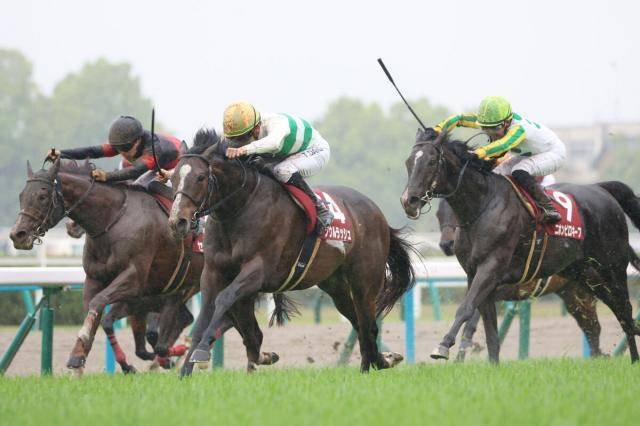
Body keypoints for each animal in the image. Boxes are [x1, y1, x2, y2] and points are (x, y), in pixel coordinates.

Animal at [9, 159, 280, 374]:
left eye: (42, 196)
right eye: (21, 195)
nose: (17, 235)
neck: (112, 220)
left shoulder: (134, 279)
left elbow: (100, 304)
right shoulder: (100, 281)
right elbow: (97, 314)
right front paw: (82, 358)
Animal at [168, 129, 415, 375]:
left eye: (200, 177)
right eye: (173, 178)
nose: (177, 221)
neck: (240, 207)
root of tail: (376, 212)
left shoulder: (258, 271)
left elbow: (224, 299)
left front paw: (201, 352)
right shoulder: (213, 272)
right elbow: (210, 316)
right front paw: (186, 370)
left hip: (365, 280)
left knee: (367, 323)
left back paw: (373, 363)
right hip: (335, 285)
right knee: (358, 322)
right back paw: (378, 361)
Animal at [401, 129, 640, 363]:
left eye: (431, 161)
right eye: (408, 162)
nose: (409, 201)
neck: (482, 206)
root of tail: (601, 189)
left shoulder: (491, 269)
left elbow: (466, 309)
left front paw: (443, 346)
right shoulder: (475, 274)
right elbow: (490, 331)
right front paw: (492, 365)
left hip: (612, 267)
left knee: (624, 309)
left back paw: (634, 359)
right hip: (582, 277)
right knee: (605, 319)